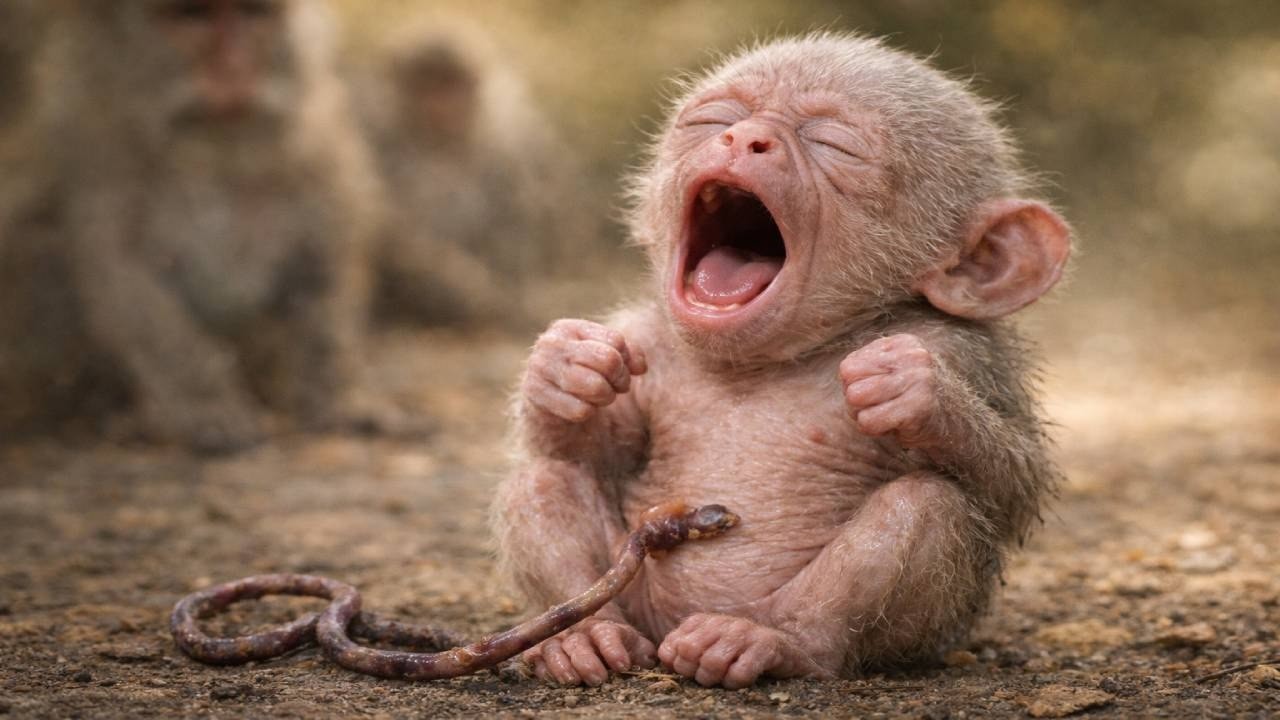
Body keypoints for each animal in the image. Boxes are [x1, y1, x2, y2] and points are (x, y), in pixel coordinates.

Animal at [0, 0, 385, 453]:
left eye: (253, 15)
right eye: (190, 16)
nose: (233, 70)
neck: (213, 160)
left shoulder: (320, 154)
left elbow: (325, 268)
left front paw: (340, 392)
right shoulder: (99, 164)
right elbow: (124, 279)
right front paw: (204, 406)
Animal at [493, 33, 1072, 688]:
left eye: (834, 144)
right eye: (714, 119)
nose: (747, 138)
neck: (766, 359)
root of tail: (671, 632)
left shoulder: (965, 351)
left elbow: (1012, 485)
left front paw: (917, 393)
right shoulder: (642, 336)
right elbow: (588, 453)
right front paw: (566, 367)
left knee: (925, 505)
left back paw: (773, 641)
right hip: (634, 586)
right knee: (544, 481)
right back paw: (583, 636)